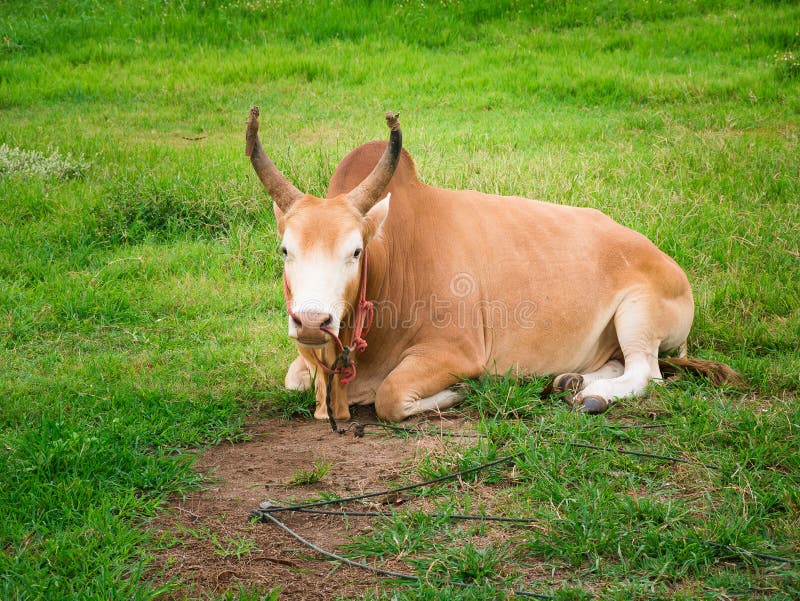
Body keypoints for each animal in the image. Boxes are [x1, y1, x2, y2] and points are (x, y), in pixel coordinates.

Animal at [245, 107, 741, 422]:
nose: (313, 321)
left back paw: (592, 396)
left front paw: (457, 393)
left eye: (355, 251)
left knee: (646, 374)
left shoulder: (456, 353)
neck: (394, 257)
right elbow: (294, 380)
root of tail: (668, 262)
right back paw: (570, 382)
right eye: (285, 249)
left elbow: (390, 397)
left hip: (640, 313)